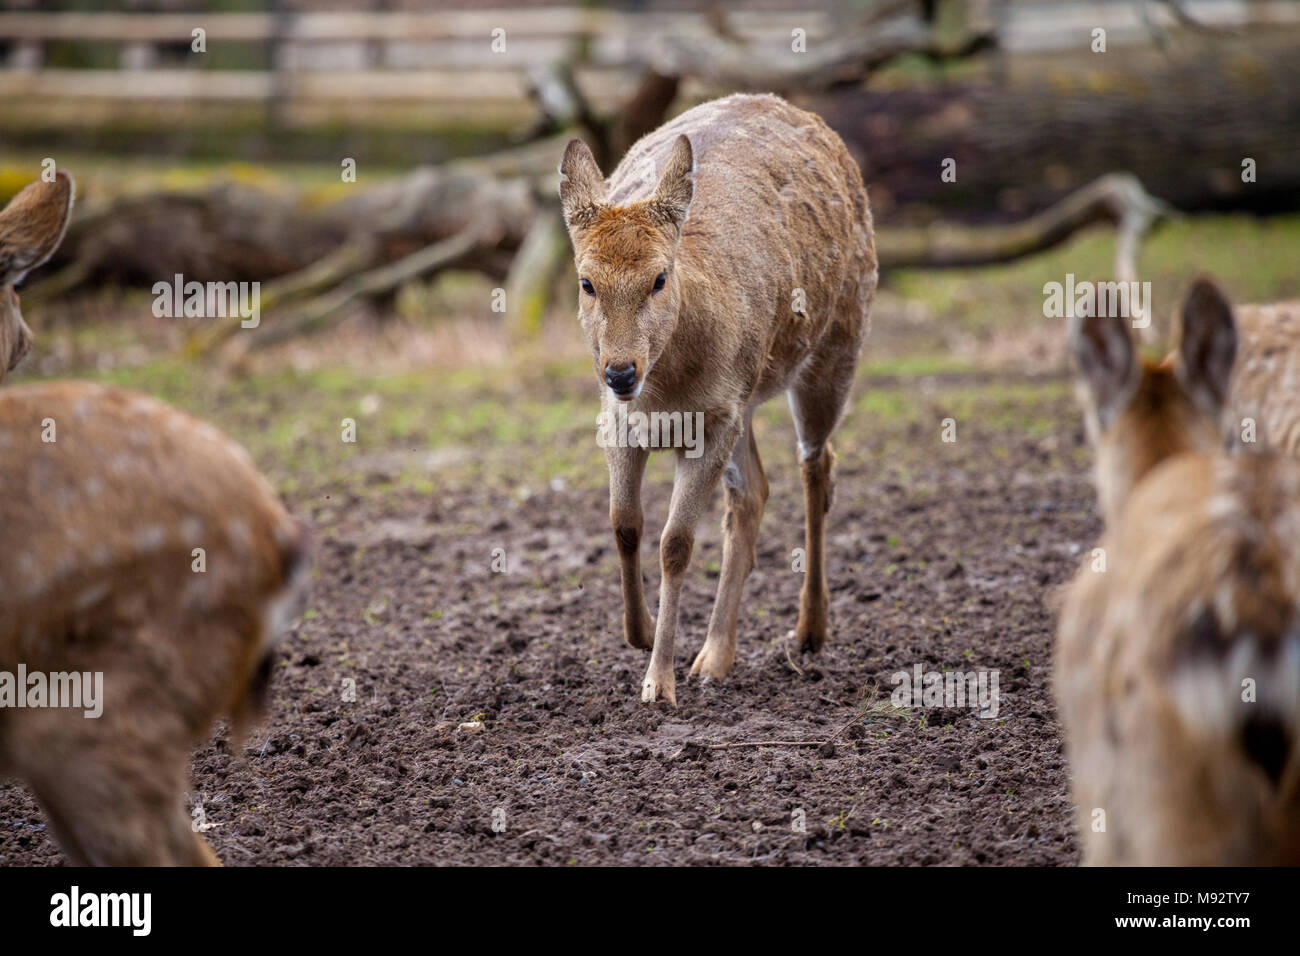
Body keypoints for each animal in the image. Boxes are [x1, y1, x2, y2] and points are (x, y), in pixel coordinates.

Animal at [558, 93, 876, 704]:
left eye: (659, 278)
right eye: (586, 282)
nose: (620, 371)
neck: (664, 394)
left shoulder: (713, 422)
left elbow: (676, 543)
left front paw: (658, 683)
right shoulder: (617, 423)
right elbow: (623, 522)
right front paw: (638, 634)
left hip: (837, 347)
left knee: (818, 462)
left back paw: (808, 630)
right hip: (746, 401)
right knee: (754, 491)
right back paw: (715, 658)